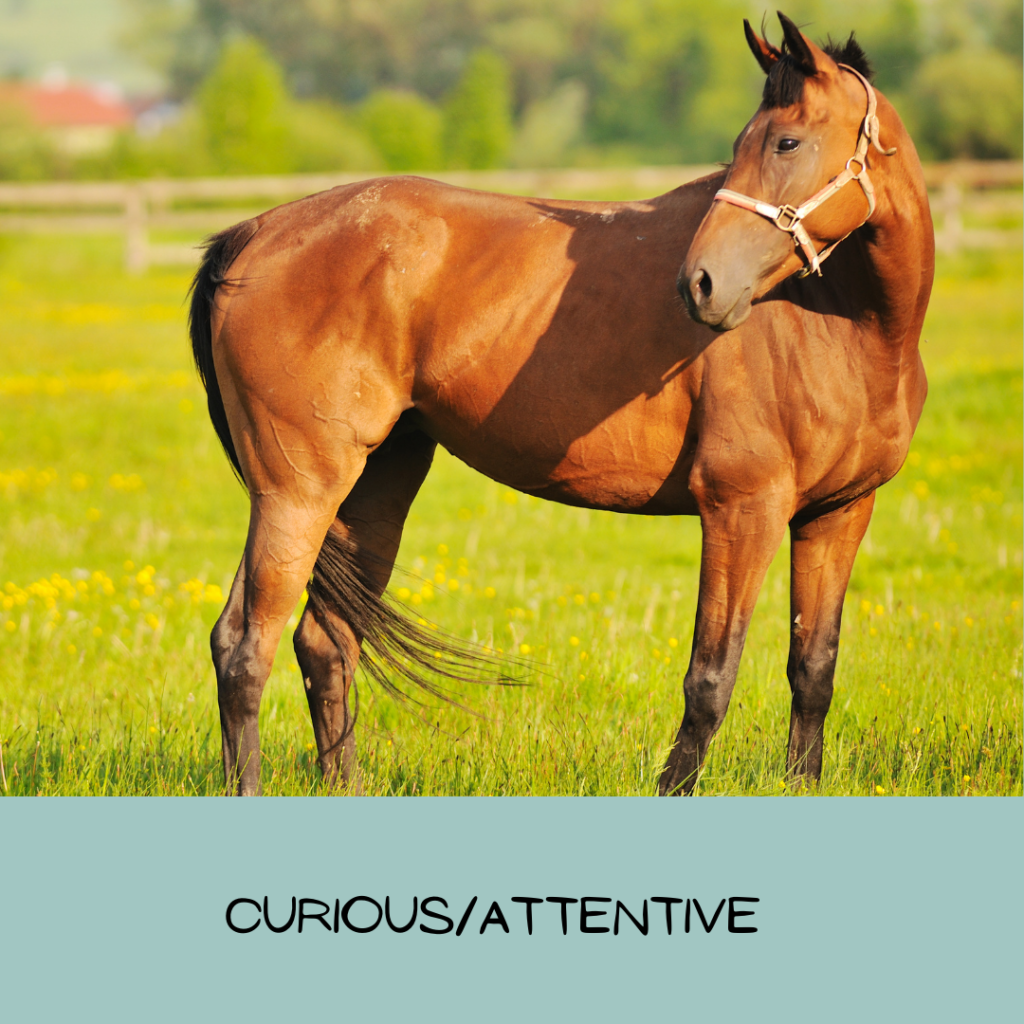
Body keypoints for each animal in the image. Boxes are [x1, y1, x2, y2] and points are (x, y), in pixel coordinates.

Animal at [188, 12, 932, 796]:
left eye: (786, 142)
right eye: (742, 145)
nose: (699, 284)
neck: (844, 323)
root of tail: (252, 236)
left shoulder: (838, 514)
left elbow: (812, 669)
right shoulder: (741, 509)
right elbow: (710, 678)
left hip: (372, 485)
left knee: (323, 642)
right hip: (296, 491)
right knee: (245, 646)